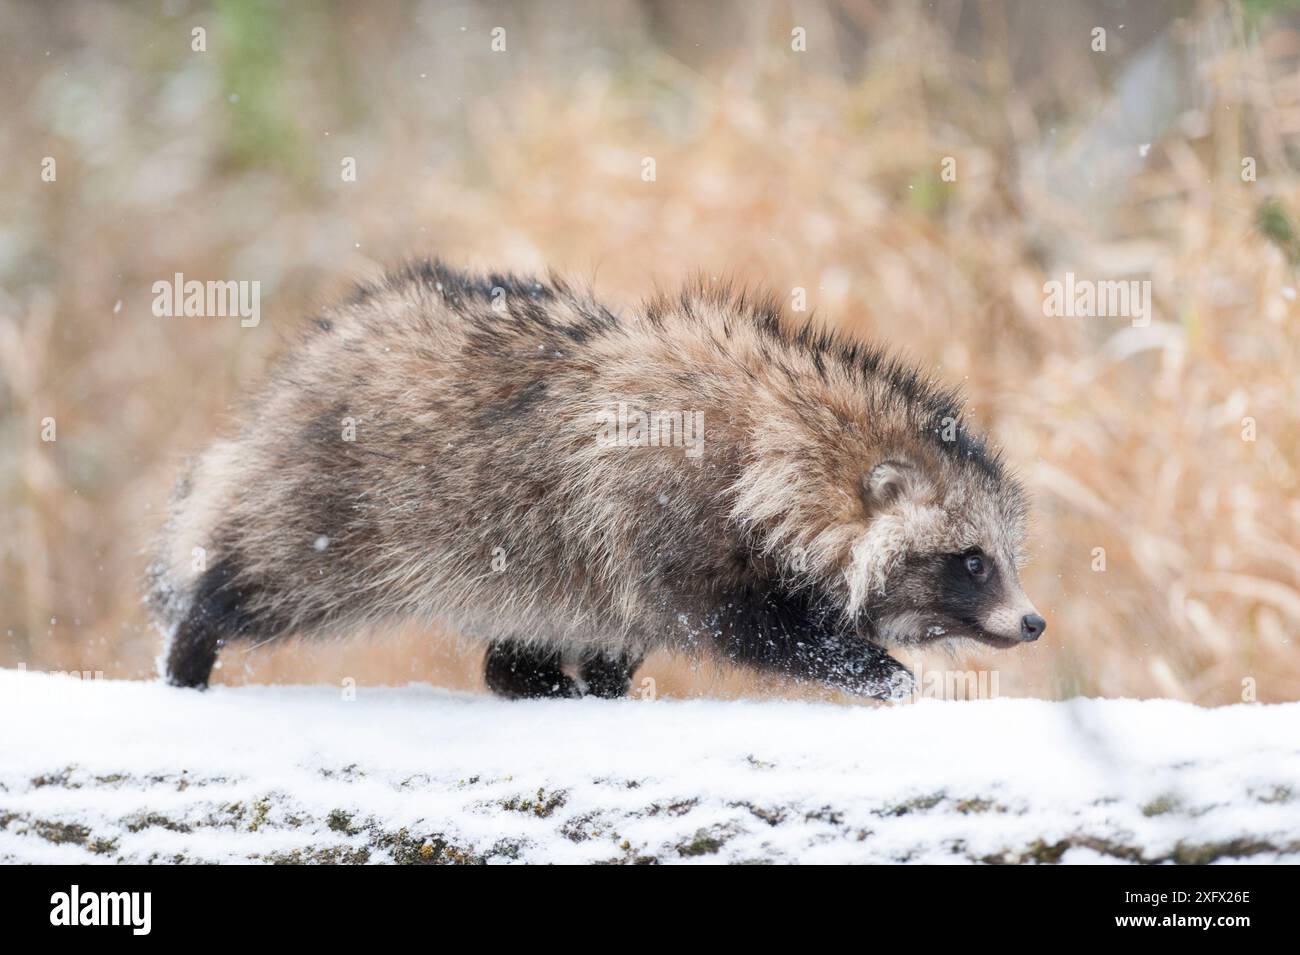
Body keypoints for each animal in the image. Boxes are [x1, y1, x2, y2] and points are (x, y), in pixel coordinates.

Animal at [147, 260, 1044, 701]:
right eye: (972, 561)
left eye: (1002, 556)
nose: (1033, 621)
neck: (775, 437)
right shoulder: (664, 509)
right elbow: (740, 624)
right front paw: (873, 668)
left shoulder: (633, 550)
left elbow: (636, 622)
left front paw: (605, 679)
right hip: (339, 510)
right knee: (265, 575)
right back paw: (194, 636)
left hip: (523, 555)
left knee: (528, 622)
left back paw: (532, 677)